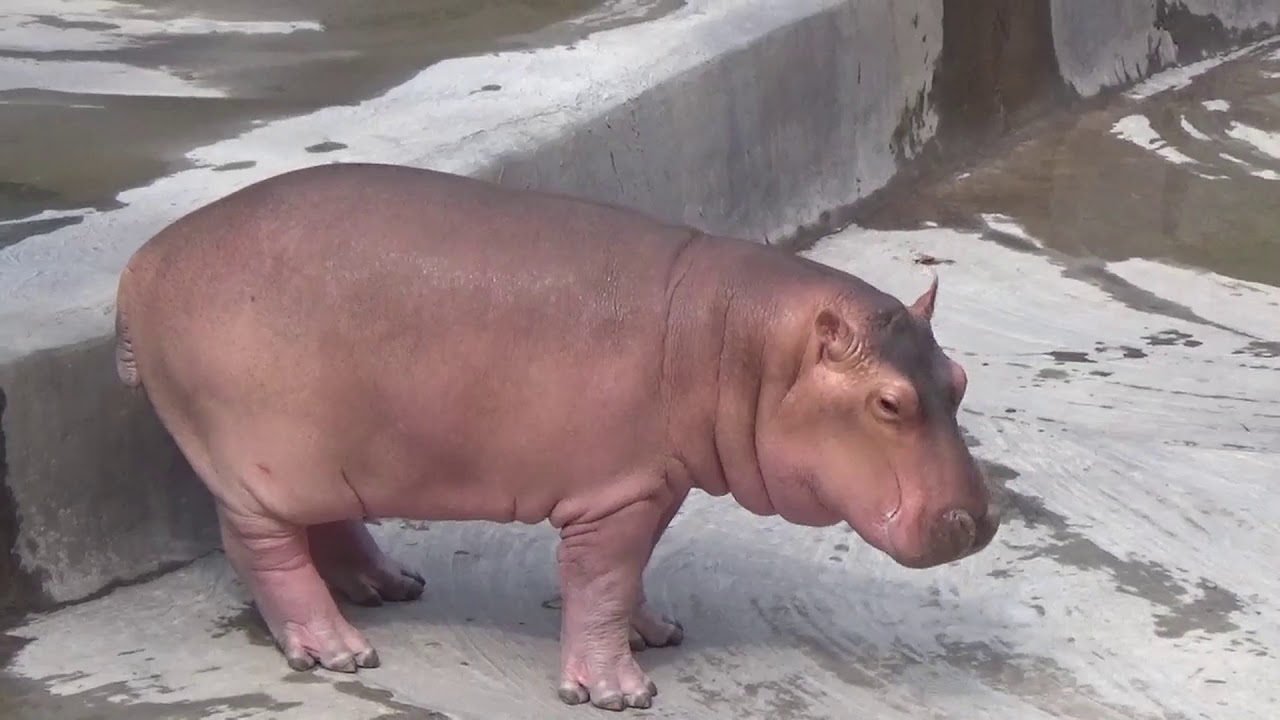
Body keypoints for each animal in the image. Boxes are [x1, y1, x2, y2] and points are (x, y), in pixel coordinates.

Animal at [113, 162, 998, 712]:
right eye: (888, 403)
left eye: (957, 378)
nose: (980, 521)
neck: (738, 343)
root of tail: (141, 264)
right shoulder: (615, 494)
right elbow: (598, 581)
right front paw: (621, 693)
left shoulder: (655, 483)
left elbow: (628, 574)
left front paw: (658, 634)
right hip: (255, 471)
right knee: (265, 551)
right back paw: (337, 650)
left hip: (325, 454)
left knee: (328, 520)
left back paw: (390, 585)